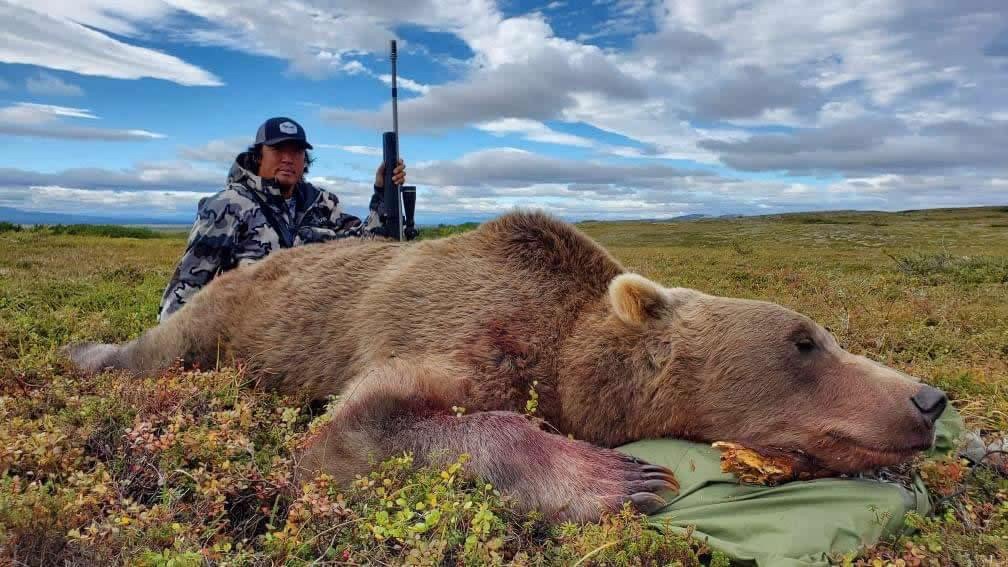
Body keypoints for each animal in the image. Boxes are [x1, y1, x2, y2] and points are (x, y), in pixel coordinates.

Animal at [64, 210, 947, 523]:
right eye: (804, 341)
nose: (929, 398)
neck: (566, 345)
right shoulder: (465, 336)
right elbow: (359, 429)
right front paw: (617, 476)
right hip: (221, 319)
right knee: (156, 351)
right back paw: (87, 353)